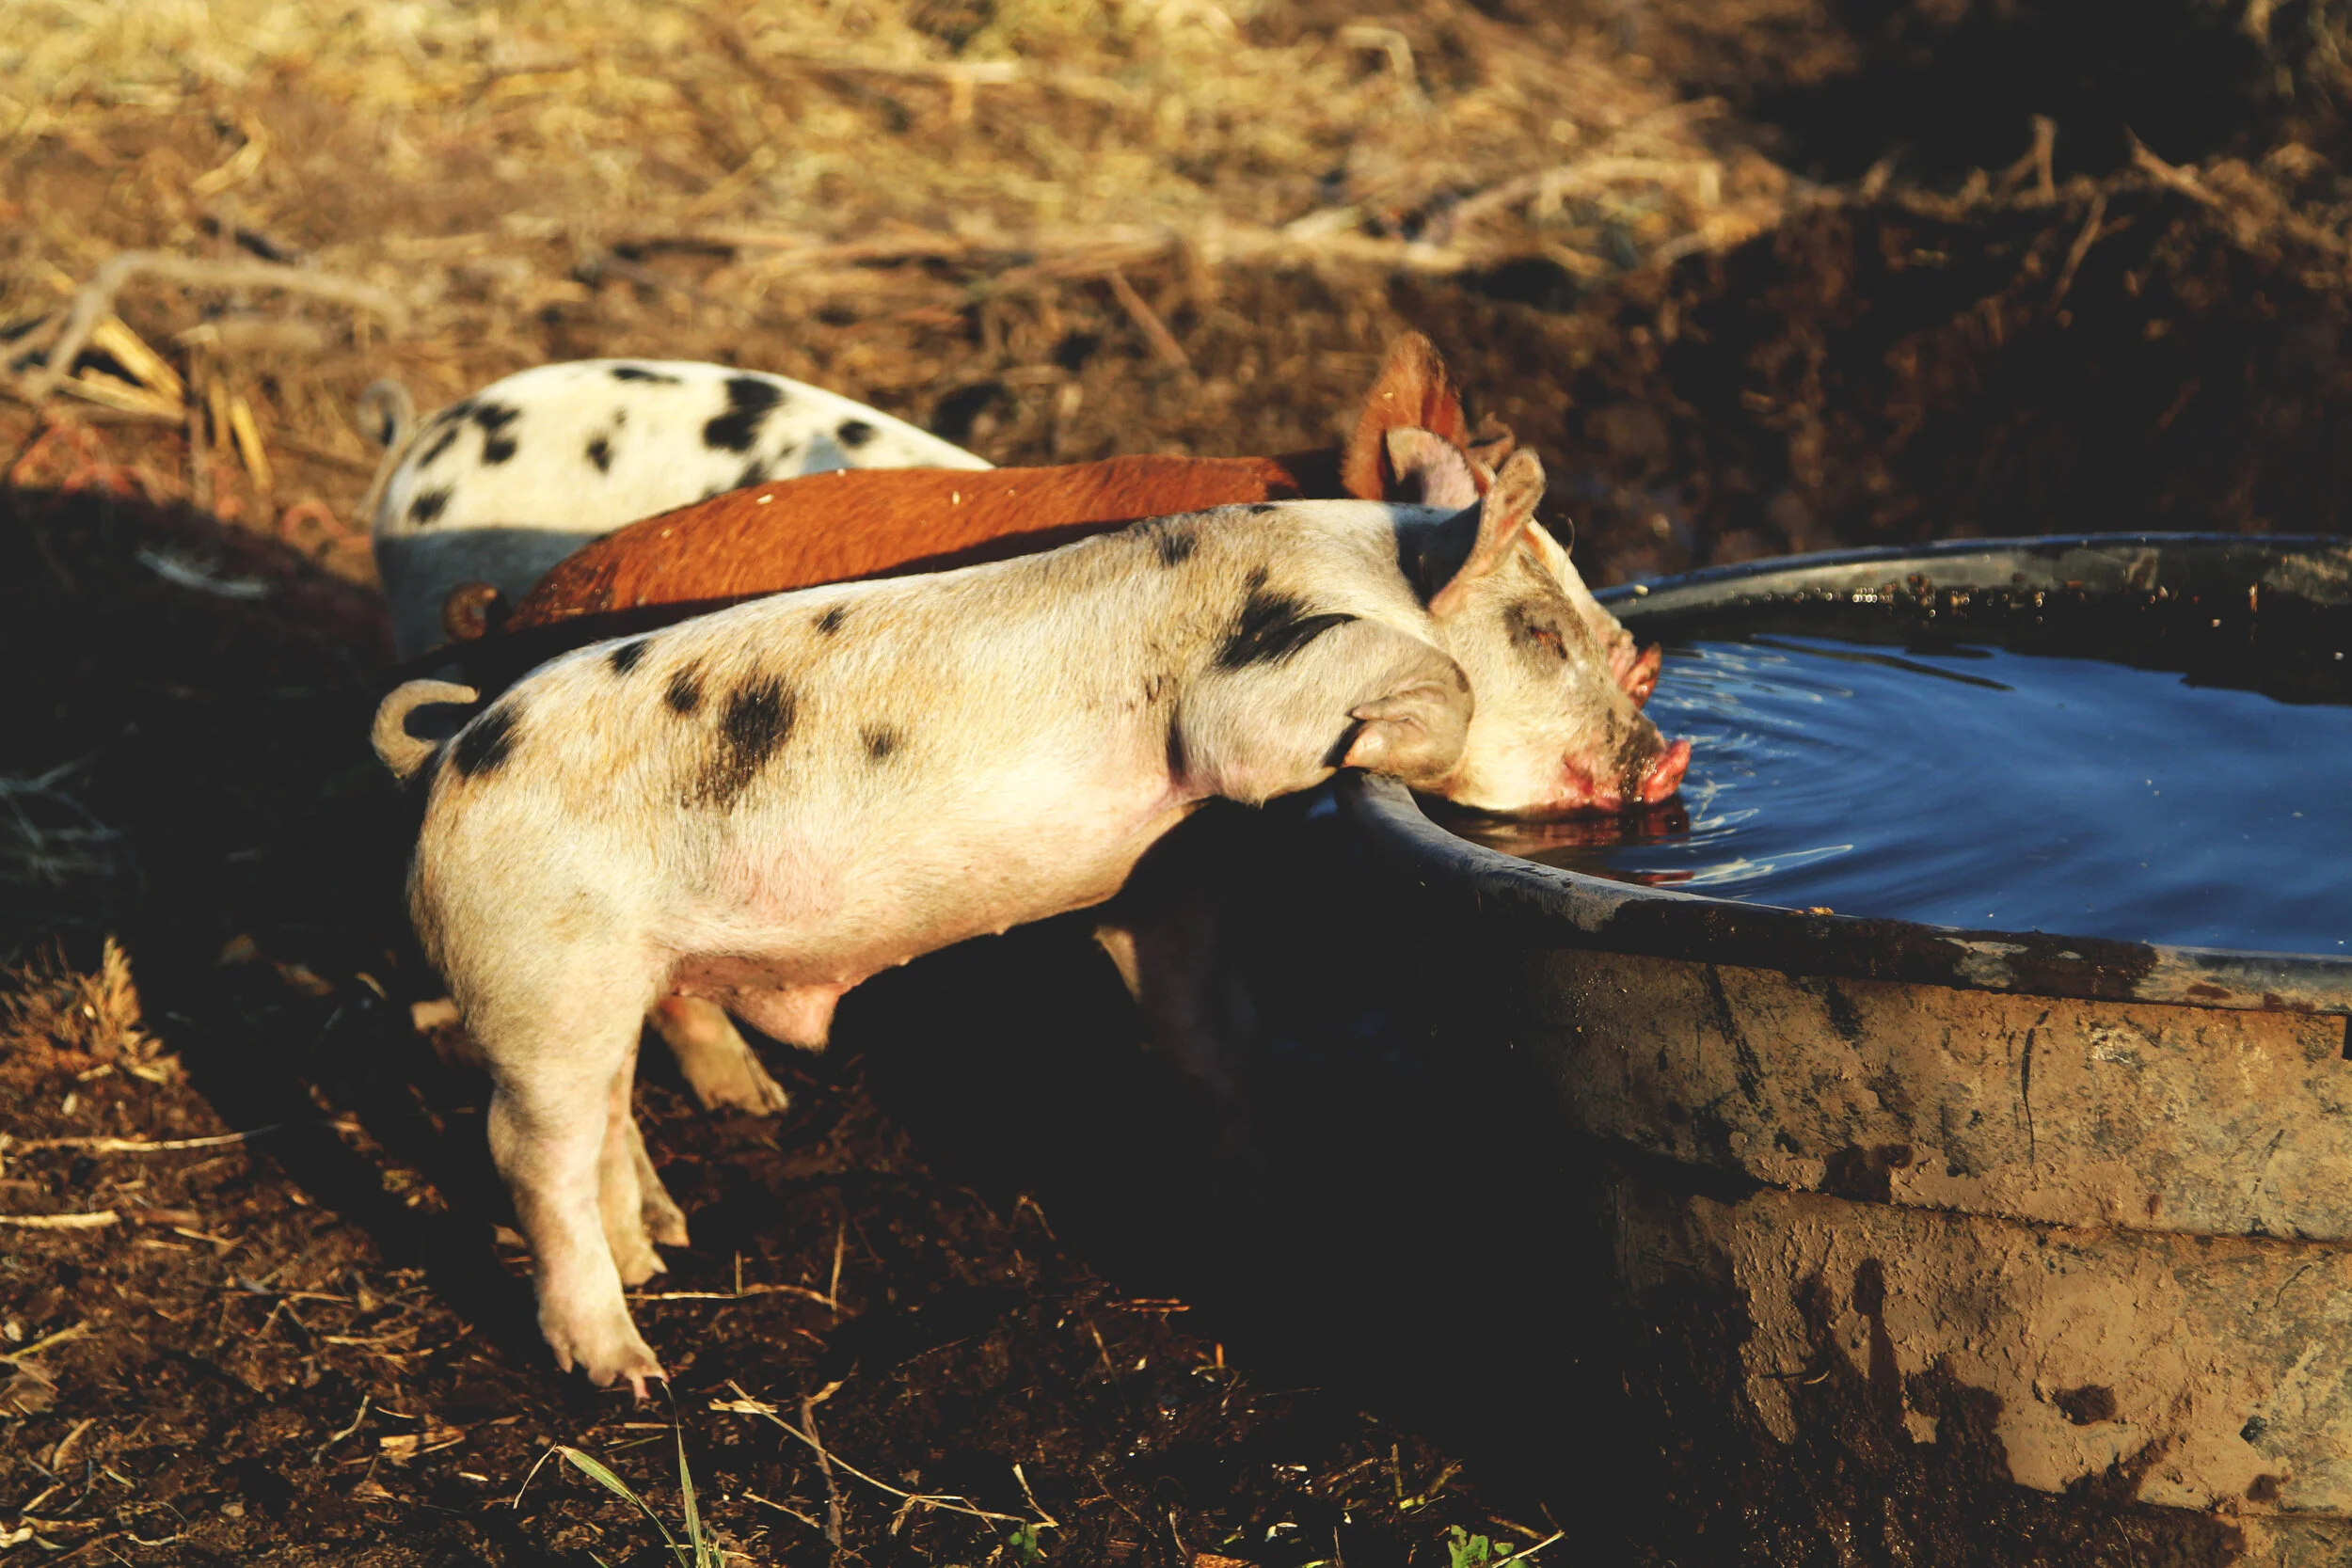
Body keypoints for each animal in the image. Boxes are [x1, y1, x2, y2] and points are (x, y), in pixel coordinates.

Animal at [372, 453, 1683, 1390]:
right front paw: (1380, 737)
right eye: (1541, 632)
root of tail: (448, 752)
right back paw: (628, 1370)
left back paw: (660, 1245)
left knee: (601, 1111)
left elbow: (1214, 1045)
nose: (1667, 759)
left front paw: (1259, 1209)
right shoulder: (1244, 708)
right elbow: (1412, 692)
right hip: (538, 970)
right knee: (523, 1146)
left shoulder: (1161, 885)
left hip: (603, 978)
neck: (1361, 570)